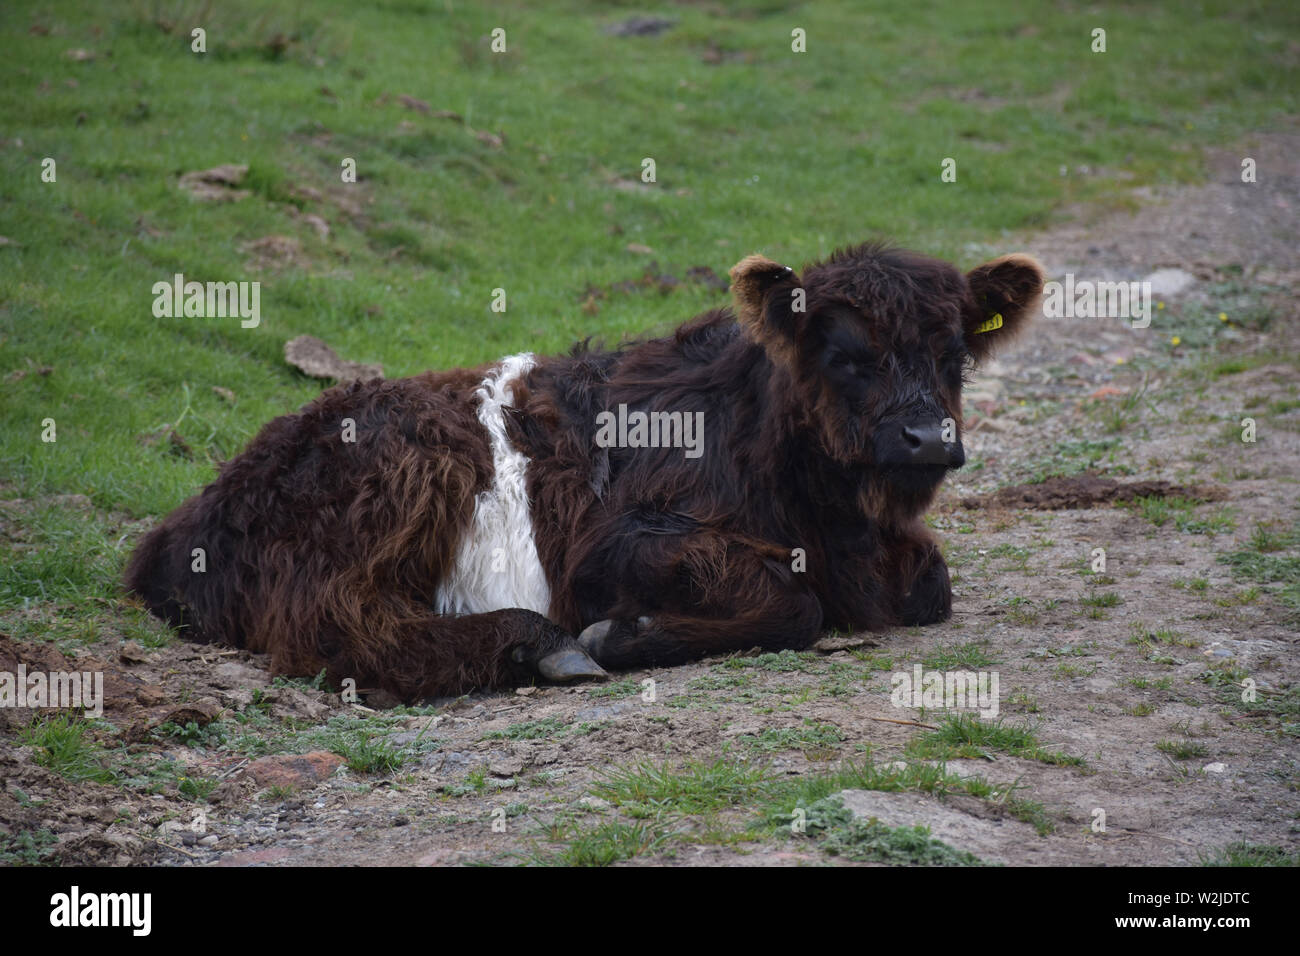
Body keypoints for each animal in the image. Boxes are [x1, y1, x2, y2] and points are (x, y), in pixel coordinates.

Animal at [124, 242, 1044, 702]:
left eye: (956, 354)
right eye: (848, 355)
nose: (926, 438)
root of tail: (173, 533)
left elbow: (930, 585)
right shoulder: (614, 545)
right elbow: (794, 602)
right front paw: (623, 636)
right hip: (408, 469)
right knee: (338, 629)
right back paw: (539, 644)